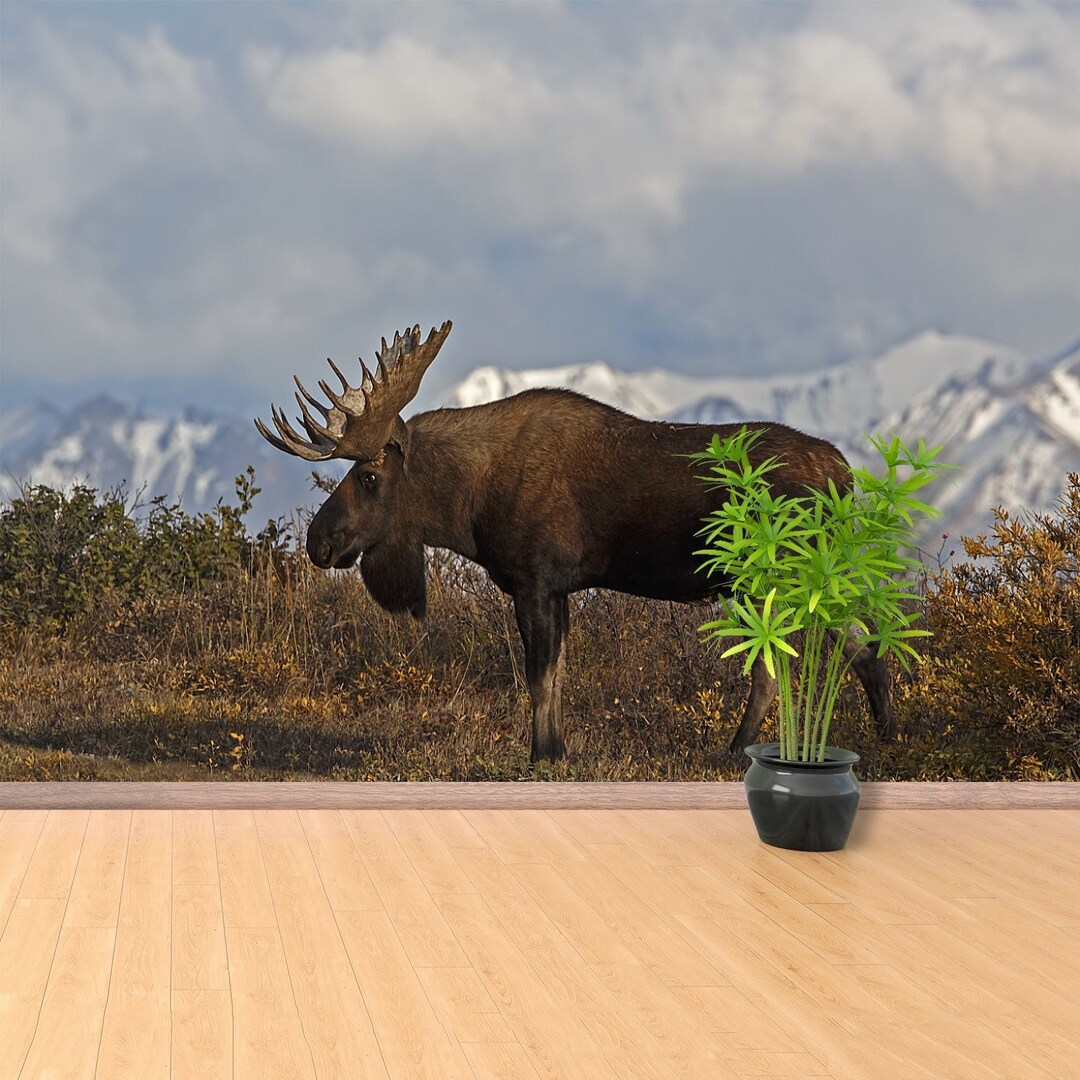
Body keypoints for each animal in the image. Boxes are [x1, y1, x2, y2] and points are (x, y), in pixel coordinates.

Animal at [256, 320, 894, 763]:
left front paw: (540, 755)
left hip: (774, 578)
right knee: (851, 649)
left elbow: (539, 678)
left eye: (368, 476)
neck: (468, 504)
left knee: (806, 660)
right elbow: (559, 675)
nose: (318, 542)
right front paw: (557, 749)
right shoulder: (558, 589)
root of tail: (845, 477)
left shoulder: (533, 580)